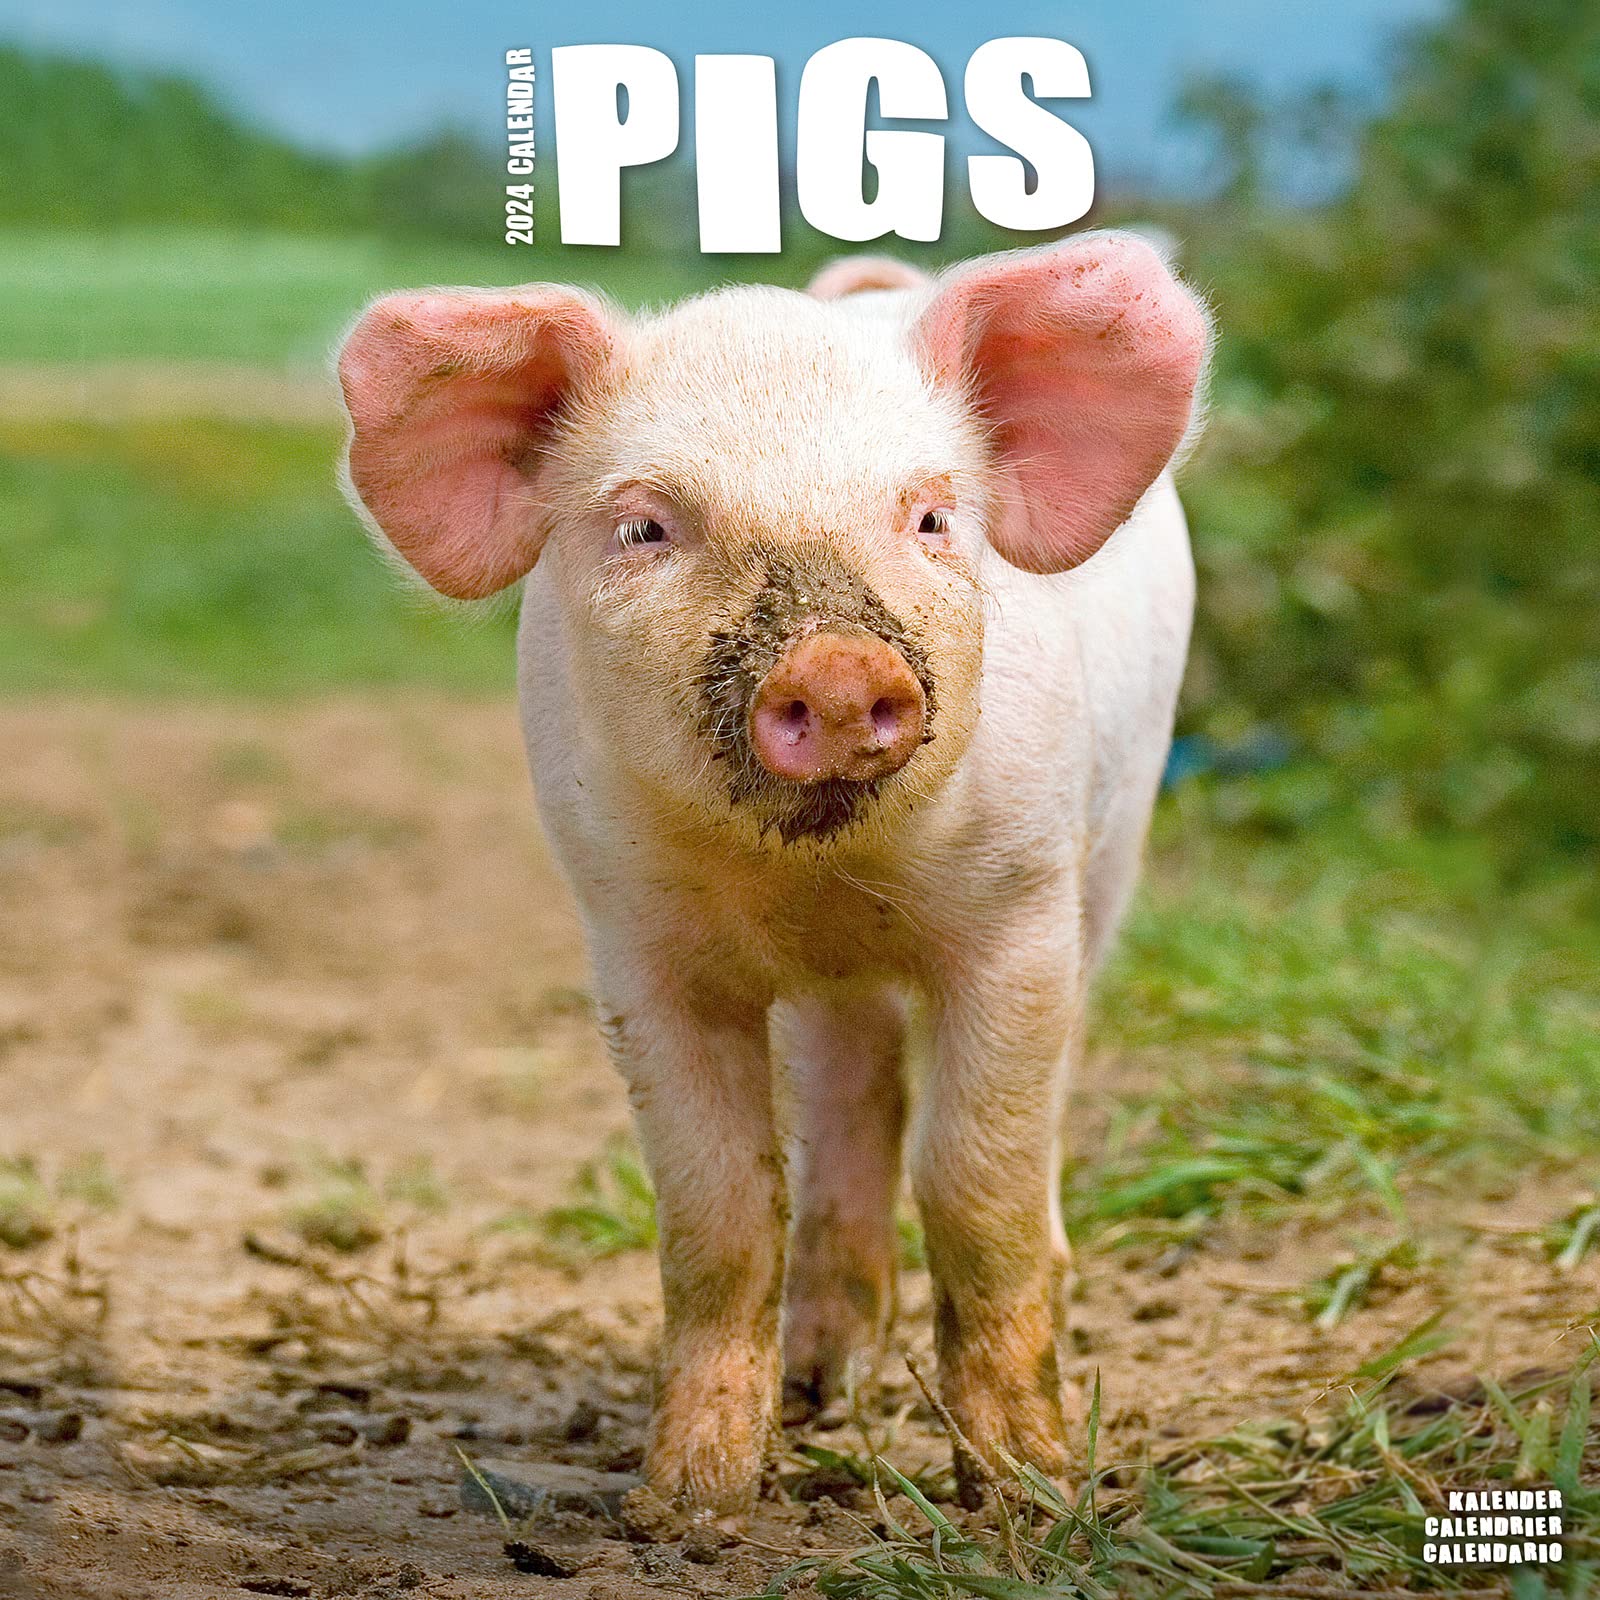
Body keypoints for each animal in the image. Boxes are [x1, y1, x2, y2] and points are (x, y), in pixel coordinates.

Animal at [336, 233, 1210, 1516]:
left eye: (931, 514)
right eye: (645, 527)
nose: (838, 668)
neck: (822, 878)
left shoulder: (1020, 910)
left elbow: (976, 1186)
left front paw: (1028, 1492)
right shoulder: (633, 946)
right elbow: (721, 1211)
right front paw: (687, 1504)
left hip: (1120, 836)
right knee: (853, 1091)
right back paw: (813, 1389)